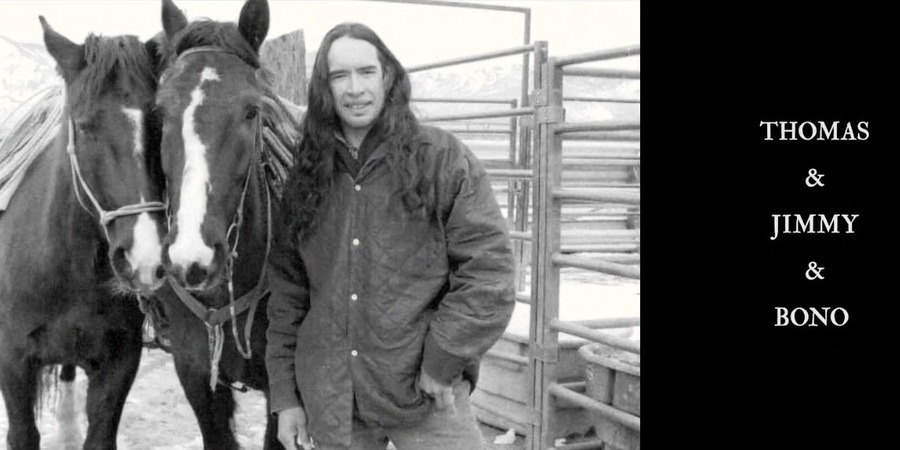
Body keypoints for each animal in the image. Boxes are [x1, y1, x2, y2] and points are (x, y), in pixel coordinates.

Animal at [0, 17, 167, 450]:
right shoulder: (13, 362)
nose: (144, 260)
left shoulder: (119, 363)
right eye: (85, 126)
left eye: (160, 124)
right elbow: (23, 434)